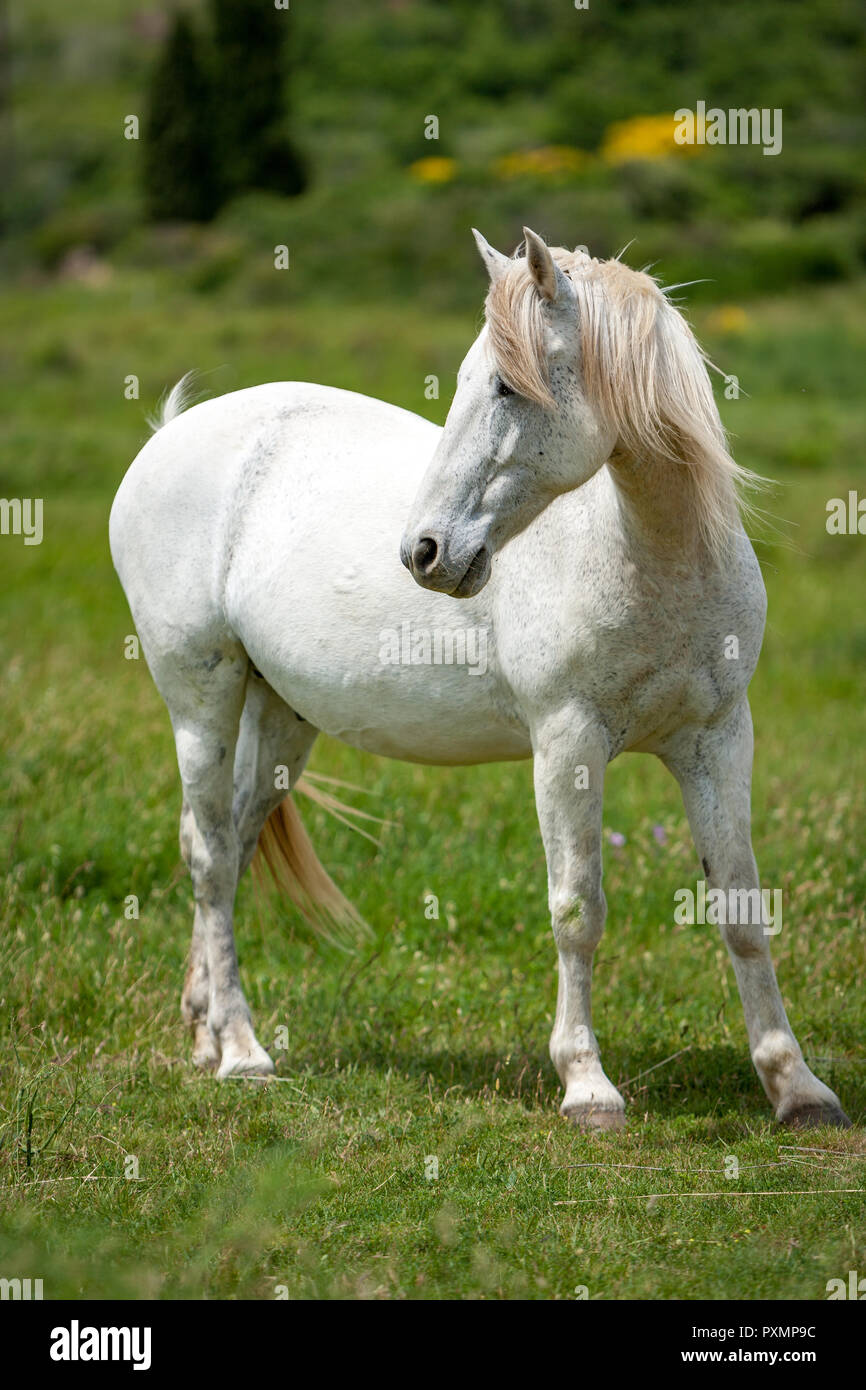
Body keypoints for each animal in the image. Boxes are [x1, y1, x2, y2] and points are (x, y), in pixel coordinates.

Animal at [109, 226, 849, 1131]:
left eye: (503, 384)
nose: (423, 552)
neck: (647, 555)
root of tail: (170, 433)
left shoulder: (718, 739)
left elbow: (741, 907)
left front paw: (795, 1085)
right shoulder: (568, 743)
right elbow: (577, 909)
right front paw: (587, 1086)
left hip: (282, 718)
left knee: (224, 842)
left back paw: (206, 1032)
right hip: (201, 701)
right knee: (213, 859)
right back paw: (244, 1052)